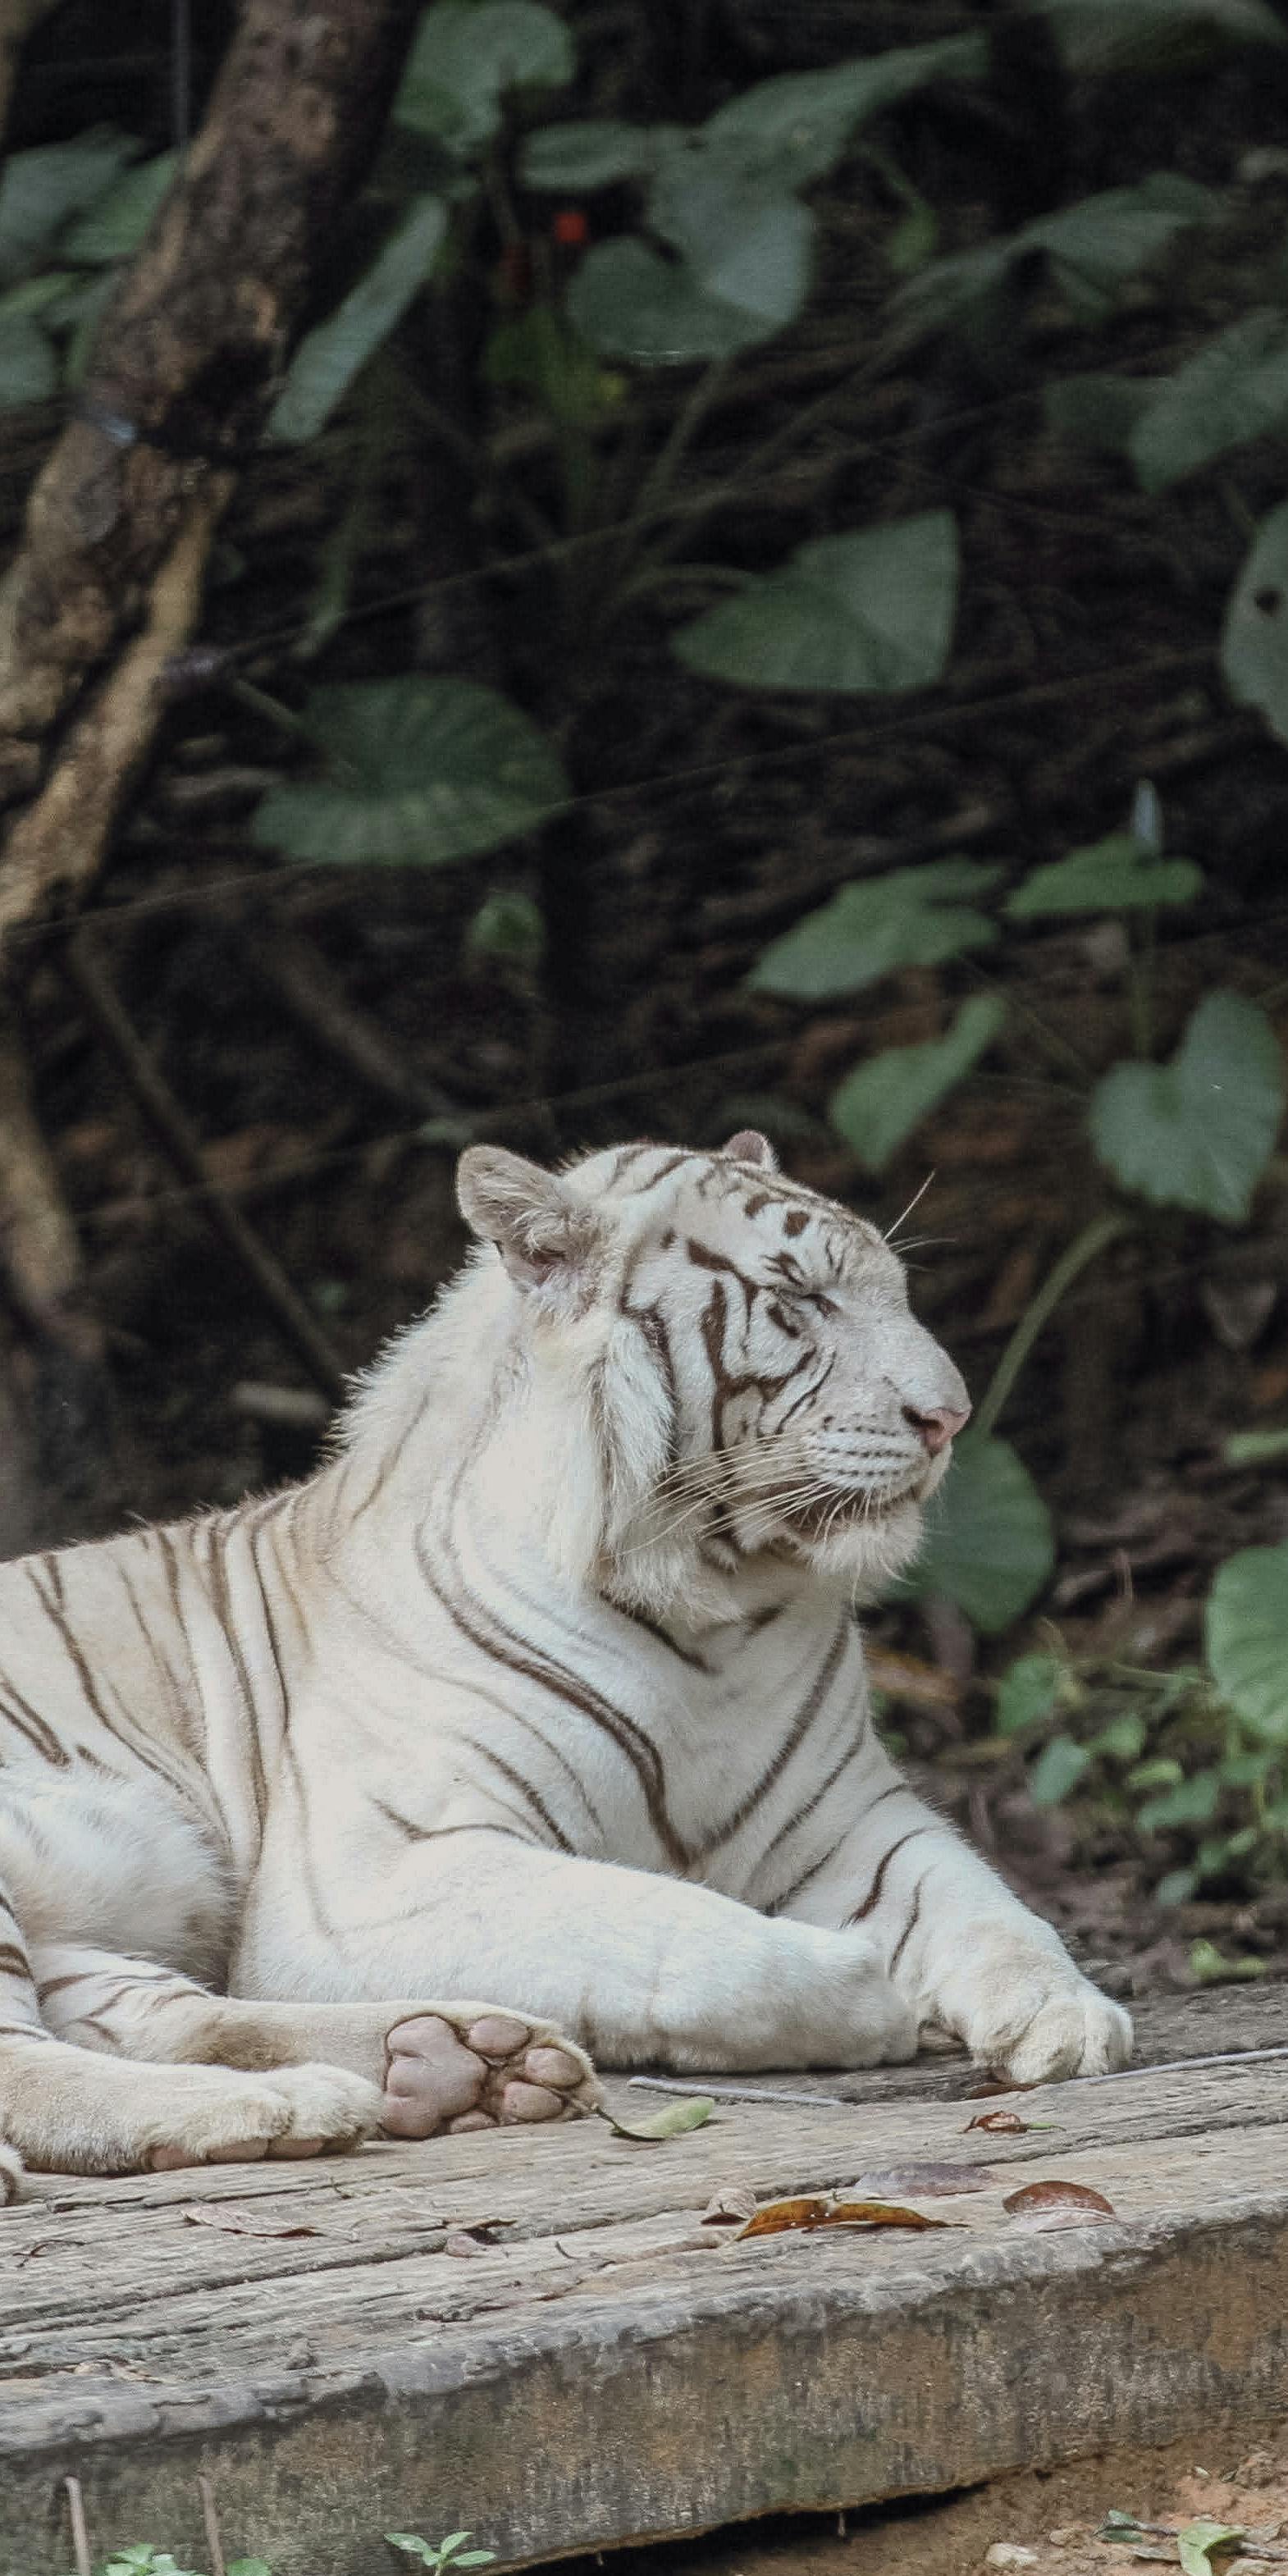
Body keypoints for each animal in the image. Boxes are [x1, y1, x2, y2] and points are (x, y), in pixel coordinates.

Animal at [0, 1129, 1130, 2197]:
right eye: (798, 1303)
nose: (950, 1417)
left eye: (894, 1291)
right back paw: (297, 2102)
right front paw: (863, 1997)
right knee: (33, 2057)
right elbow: (669, 1926)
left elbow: (979, 1899)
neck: (710, 1608)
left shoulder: (845, 1815)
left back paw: (450, 2062)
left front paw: (1066, 2013)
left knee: (144, 2011)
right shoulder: (377, 1869)